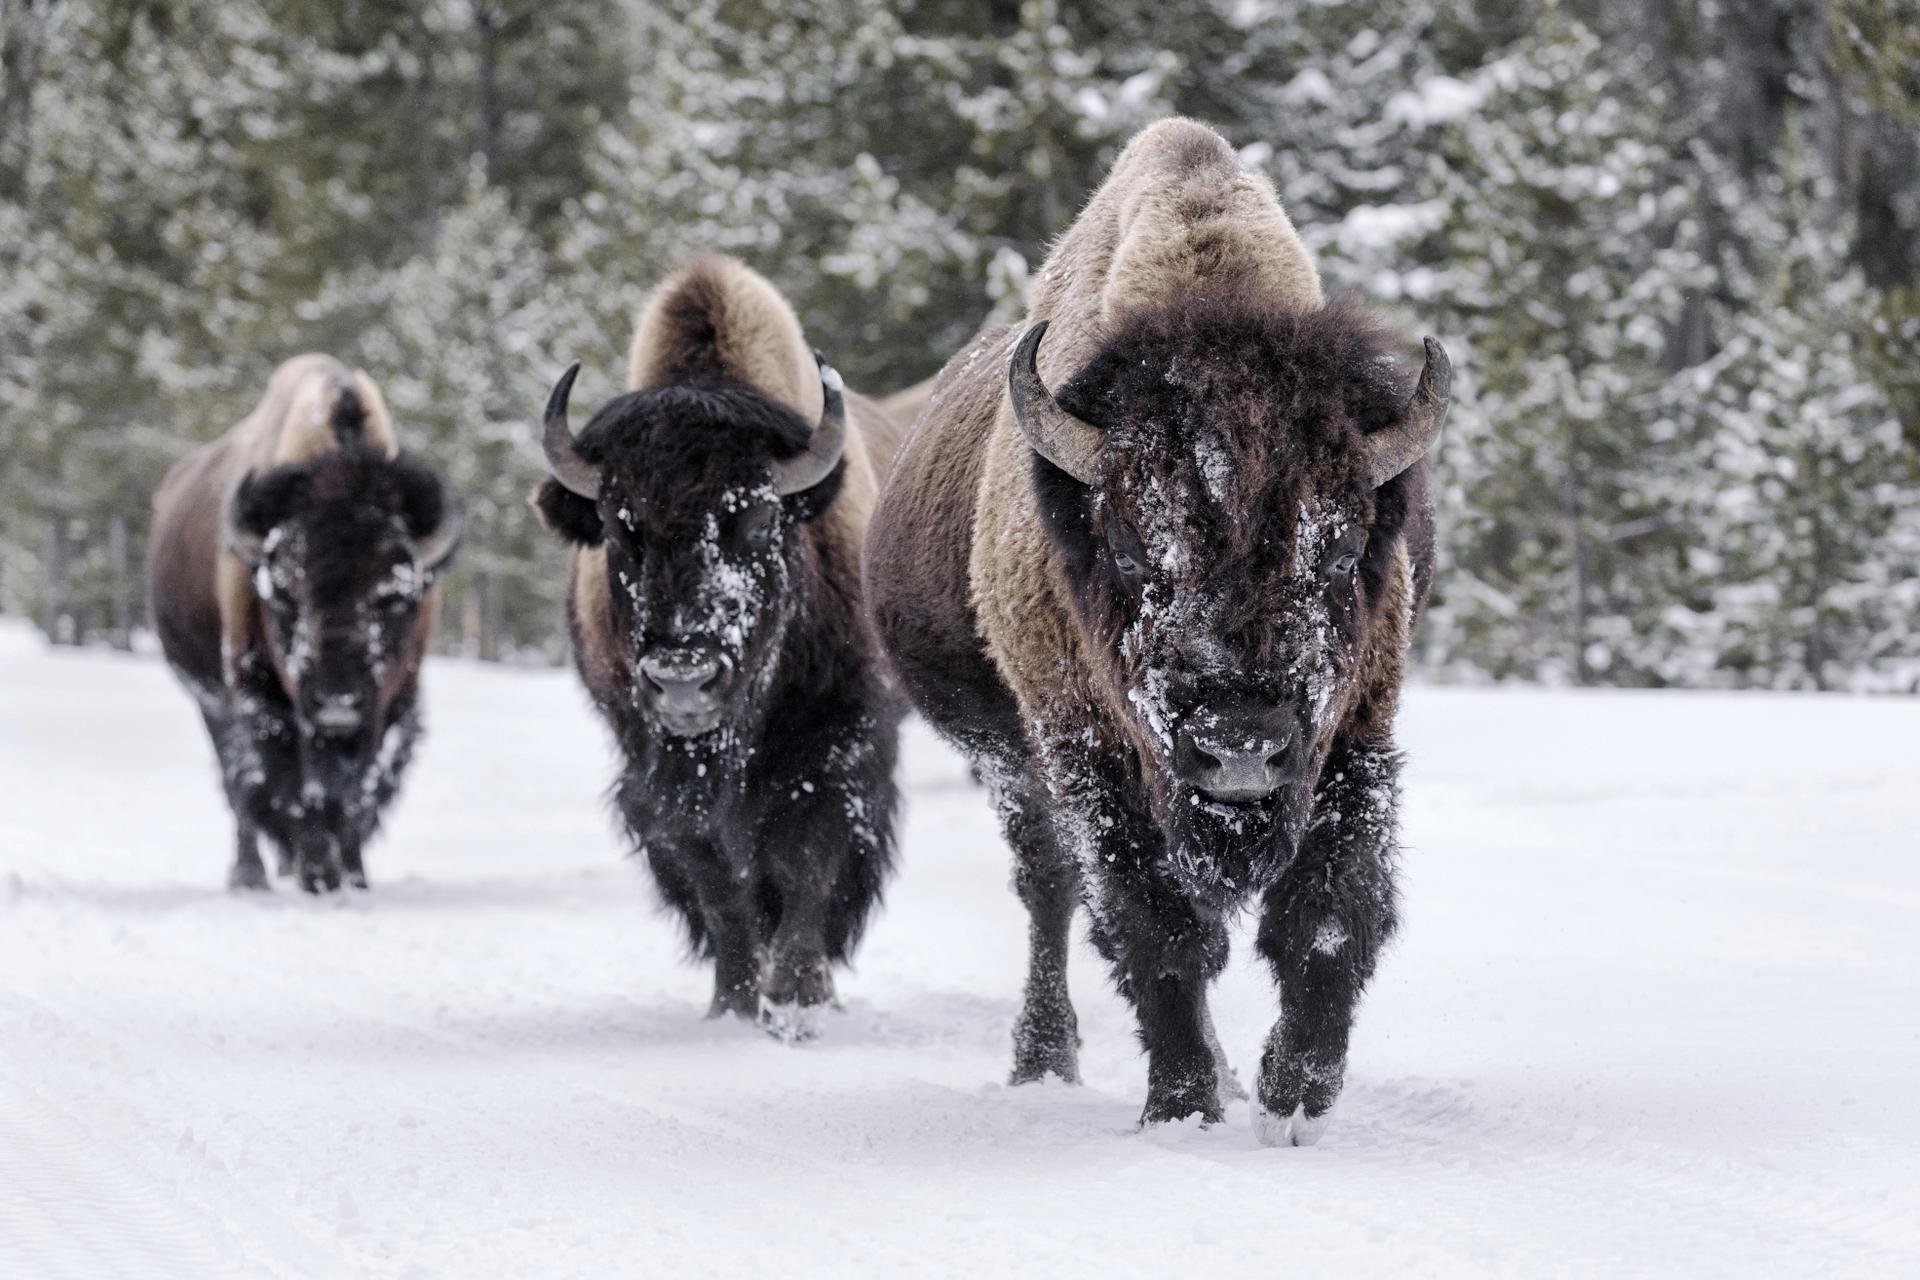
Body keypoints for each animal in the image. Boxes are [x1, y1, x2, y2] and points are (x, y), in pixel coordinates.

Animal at [148, 355, 463, 892]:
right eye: (283, 595)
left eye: (396, 597)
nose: (338, 701)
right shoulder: (262, 698)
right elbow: (292, 785)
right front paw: (317, 873)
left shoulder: (389, 704)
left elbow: (357, 792)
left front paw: (350, 876)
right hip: (207, 697)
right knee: (236, 785)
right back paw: (251, 875)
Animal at [534, 256, 904, 1041]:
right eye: (619, 524)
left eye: (758, 517)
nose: (682, 679)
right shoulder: (653, 772)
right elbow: (717, 879)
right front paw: (732, 1001)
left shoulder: (839, 748)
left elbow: (804, 861)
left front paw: (797, 999)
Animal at [866, 119, 1450, 1140]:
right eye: (1136, 547)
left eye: (1341, 547)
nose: (1241, 744)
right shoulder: (1091, 754)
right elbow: (1155, 926)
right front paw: (1183, 1104)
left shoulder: (1354, 736)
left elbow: (1329, 916)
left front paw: (1292, 1096)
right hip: (1009, 761)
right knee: (1050, 891)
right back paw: (1044, 1059)